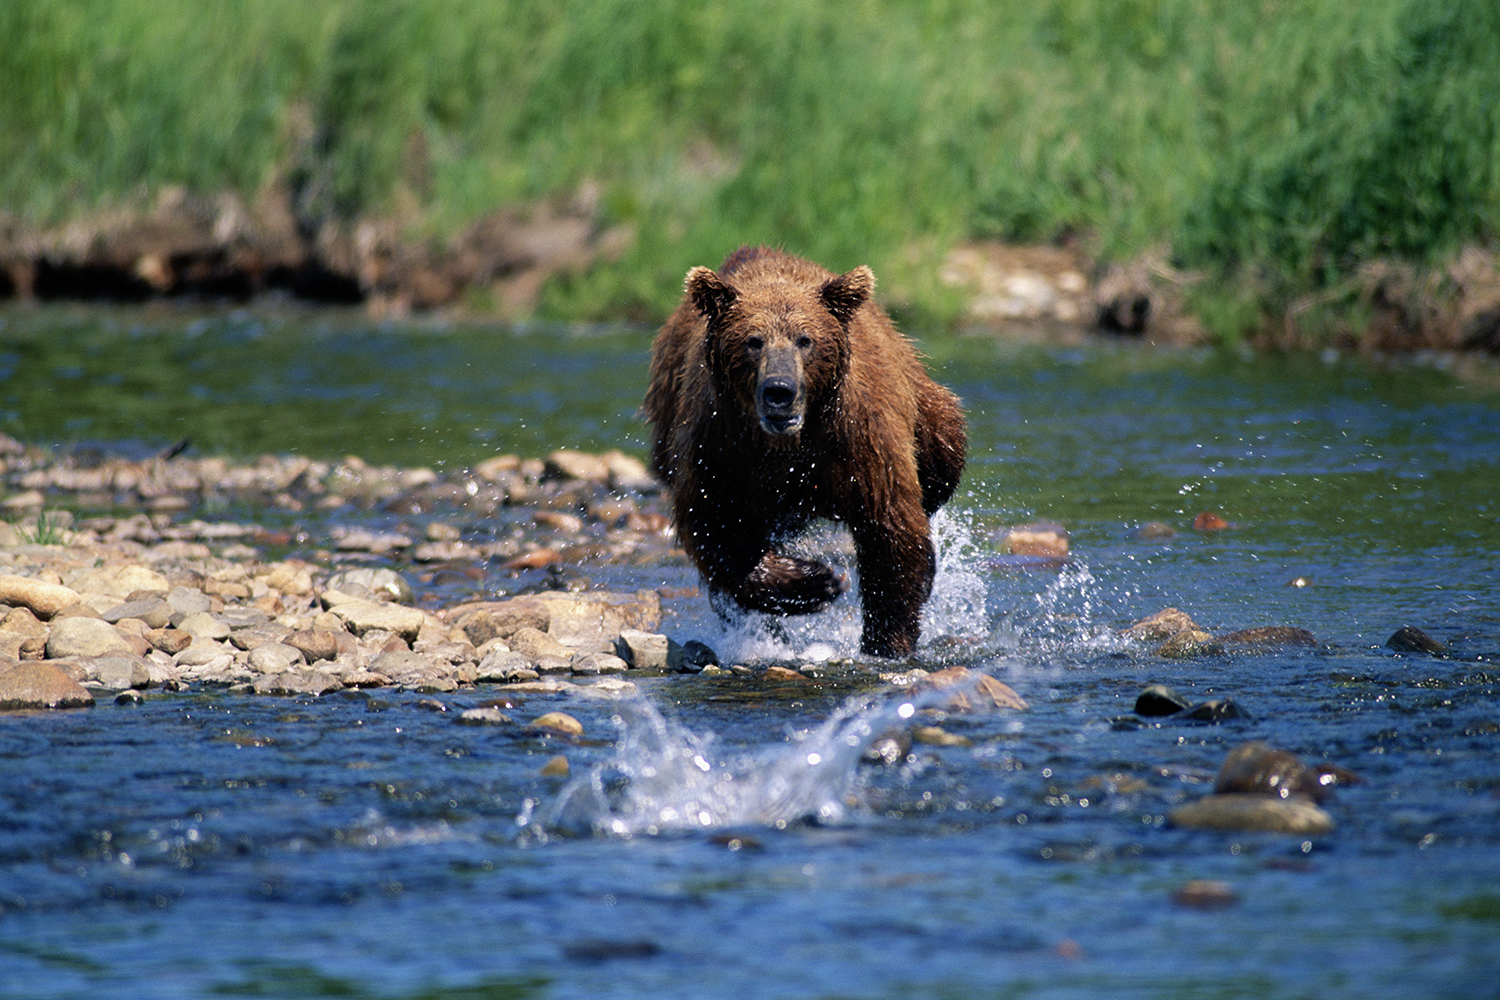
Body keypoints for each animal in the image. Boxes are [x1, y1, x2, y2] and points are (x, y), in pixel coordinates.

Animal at [644, 246, 966, 658]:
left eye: (805, 339)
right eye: (753, 340)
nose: (779, 390)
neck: (789, 444)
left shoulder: (860, 440)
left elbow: (889, 529)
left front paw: (886, 640)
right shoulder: (719, 446)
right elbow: (716, 527)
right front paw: (815, 581)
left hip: (923, 406)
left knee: (943, 456)